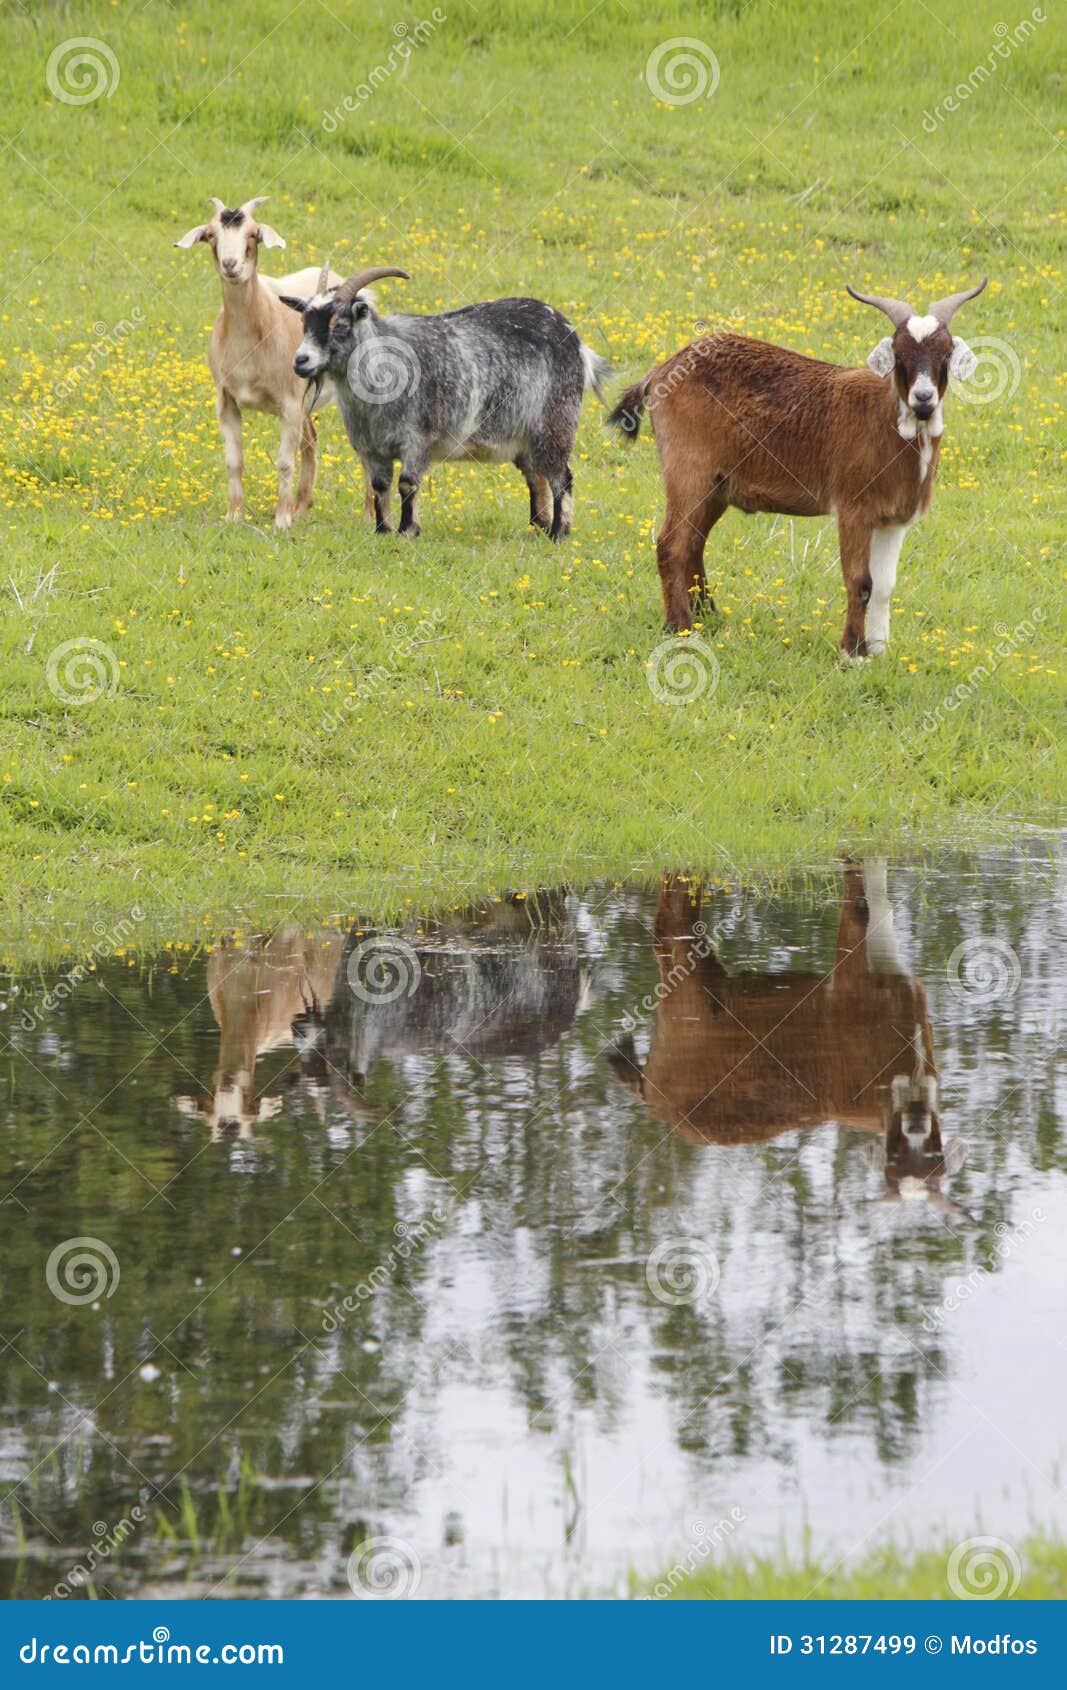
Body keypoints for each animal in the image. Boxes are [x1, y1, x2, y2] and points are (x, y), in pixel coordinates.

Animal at [174, 196, 375, 530]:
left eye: (254, 233)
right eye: (211, 234)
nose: (231, 265)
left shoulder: (288, 404)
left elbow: (283, 462)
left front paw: (281, 522)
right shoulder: (227, 401)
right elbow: (234, 461)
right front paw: (234, 516)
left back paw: (369, 515)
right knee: (311, 441)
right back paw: (302, 509)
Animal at [280, 264, 611, 539]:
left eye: (340, 324)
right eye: (304, 322)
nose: (301, 361)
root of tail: (574, 338)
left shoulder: (417, 439)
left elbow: (407, 483)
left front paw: (407, 531)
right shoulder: (372, 448)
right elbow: (380, 487)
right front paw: (383, 531)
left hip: (556, 424)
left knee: (561, 477)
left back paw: (558, 533)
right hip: (525, 437)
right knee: (537, 477)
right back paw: (536, 528)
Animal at [607, 279, 987, 654]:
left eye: (946, 353)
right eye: (898, 355)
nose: (923, 399)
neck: (886, 420)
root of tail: (660, 373)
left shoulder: (894, 520)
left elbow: (884, 586)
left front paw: (879, 651)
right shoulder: (854, 509)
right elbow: (860, 581)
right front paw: (853, 652)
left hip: (717, 485)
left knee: (694, 543)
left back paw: (707, 615)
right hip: (688, 469)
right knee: (671, 543)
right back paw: (681, 628)